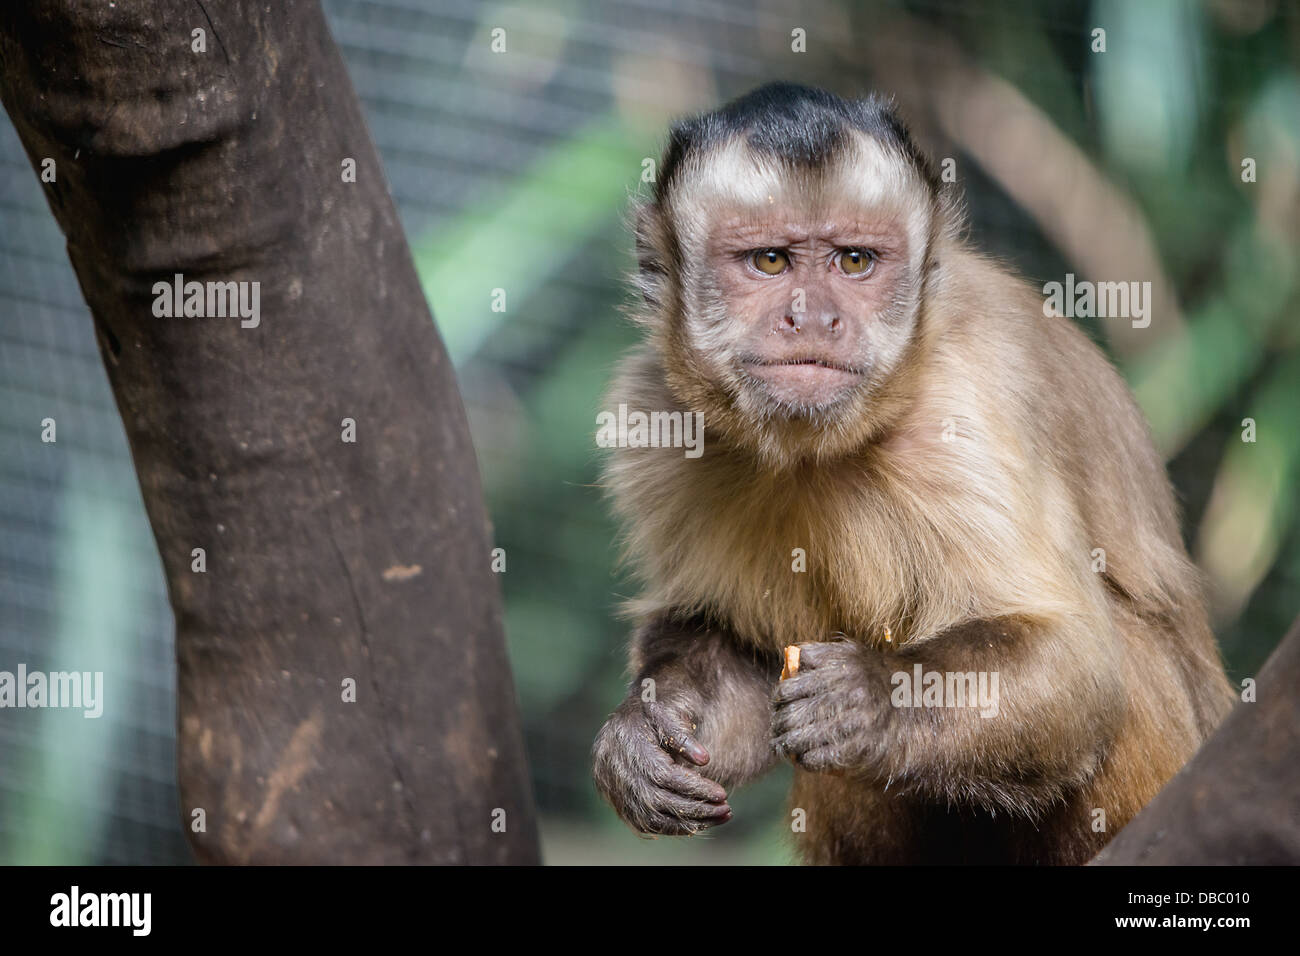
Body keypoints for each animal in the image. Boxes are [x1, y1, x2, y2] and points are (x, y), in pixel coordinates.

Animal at [591, 82, 1236, 865]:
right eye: (770, 262)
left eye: (855, 262)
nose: (816, 319)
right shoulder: (652, 411)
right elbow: (732, 643)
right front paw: (643, 733)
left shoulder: (971, 401)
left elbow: (1075, 665)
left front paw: (869, 700)